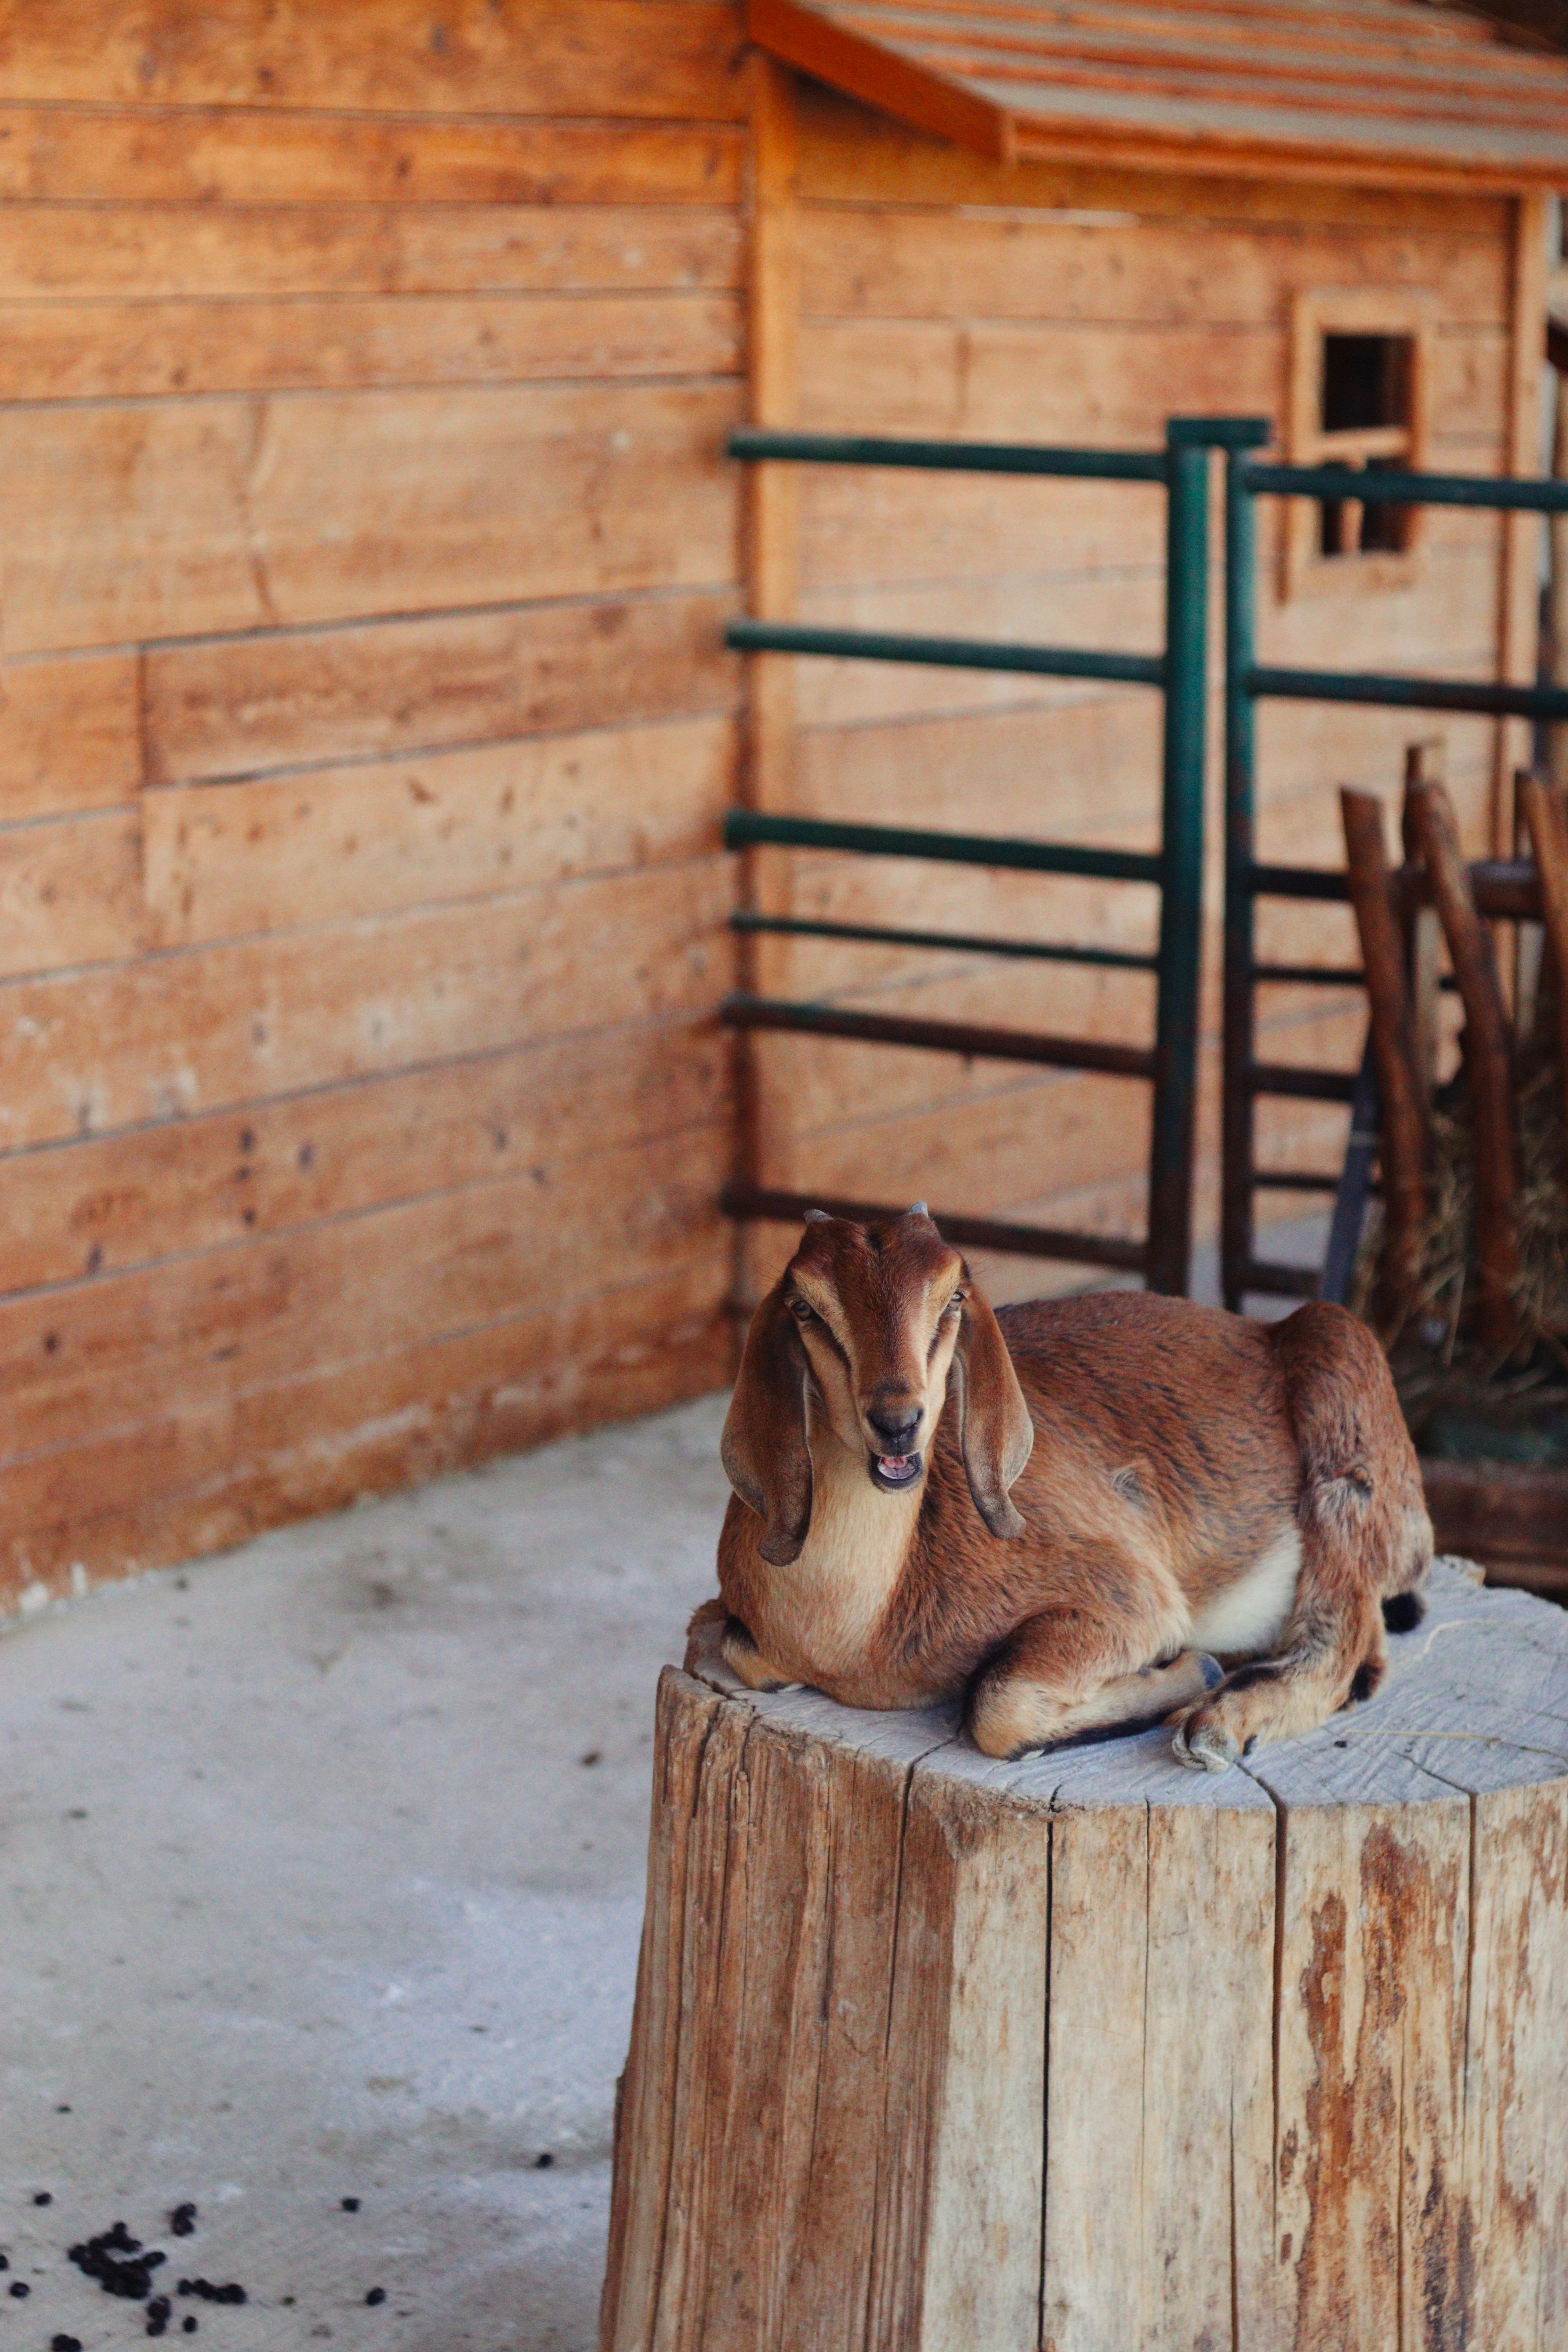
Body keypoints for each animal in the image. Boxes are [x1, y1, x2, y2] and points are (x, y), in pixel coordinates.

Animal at [698, 1206, 1432, 1770]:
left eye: (953, 1297)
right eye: (806, 1307)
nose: (899, 1422)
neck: (855, 1630)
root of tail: (1262, 1330)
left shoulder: (1128, 1596)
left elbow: (997, 1704)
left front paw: (1191, 1672)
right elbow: (728, 1641)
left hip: (1345, 1437)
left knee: (1341, 1634)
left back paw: (1218, 1723)